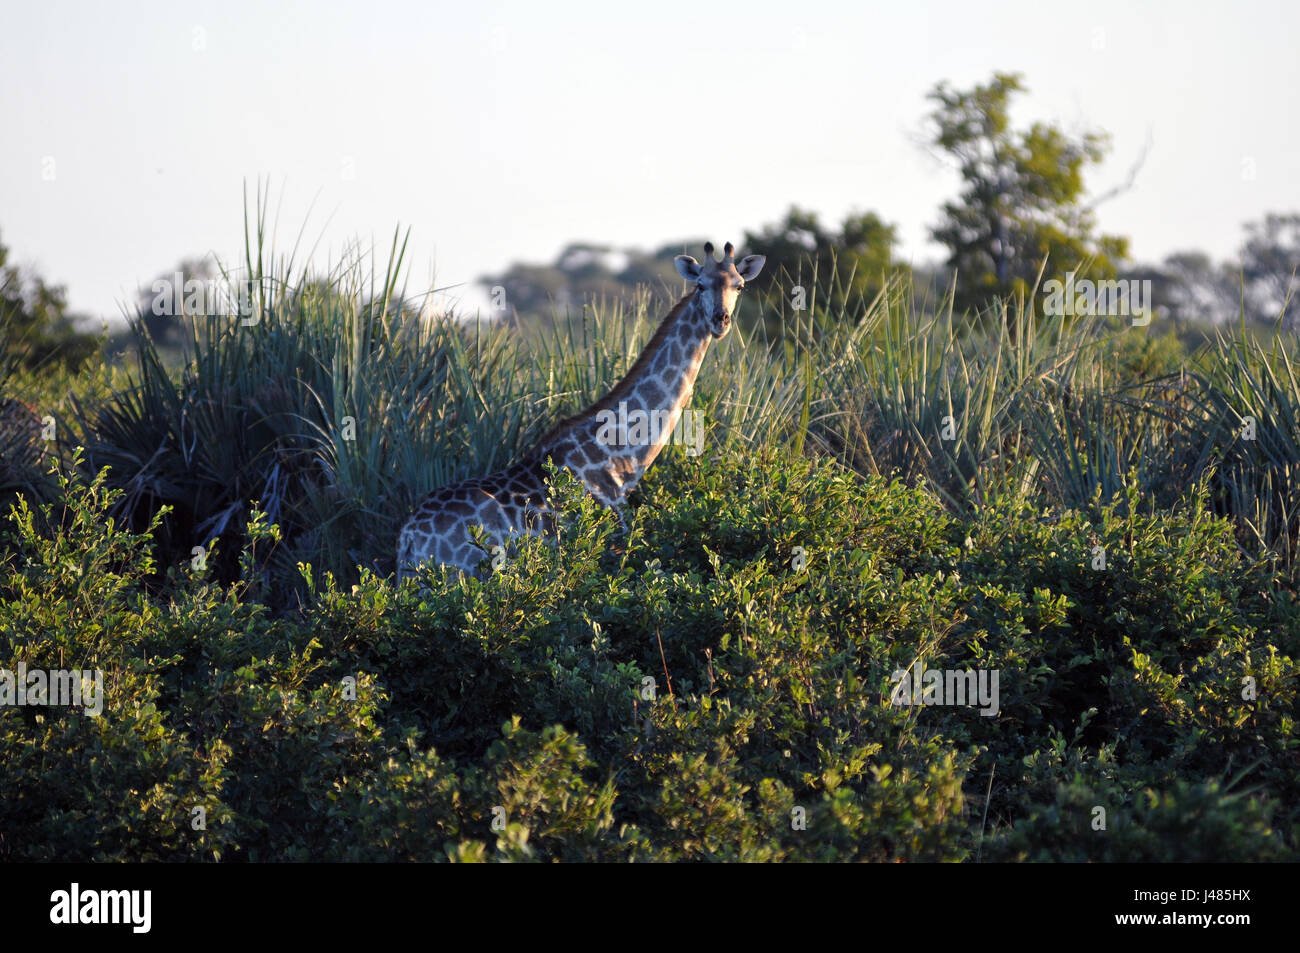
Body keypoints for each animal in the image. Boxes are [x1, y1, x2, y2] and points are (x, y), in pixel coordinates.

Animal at [396, 240, 766, 579]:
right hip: (470, 574)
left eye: (739, 285)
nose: (720, 321)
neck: (620, 459)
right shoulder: (611, 550)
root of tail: (408, 539)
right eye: (700, 284)